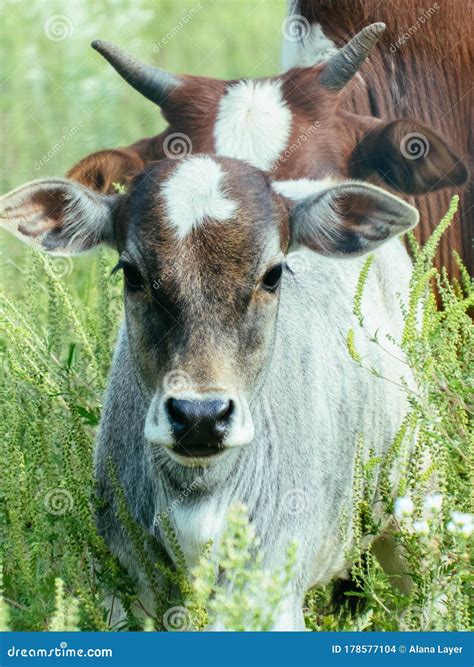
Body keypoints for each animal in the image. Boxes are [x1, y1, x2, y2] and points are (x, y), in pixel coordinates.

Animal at [1, 154, 419, 629]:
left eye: (273, 274)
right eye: (132, 273)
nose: (200, 417)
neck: (198, 497)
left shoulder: (271, 593)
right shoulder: (124, 590)